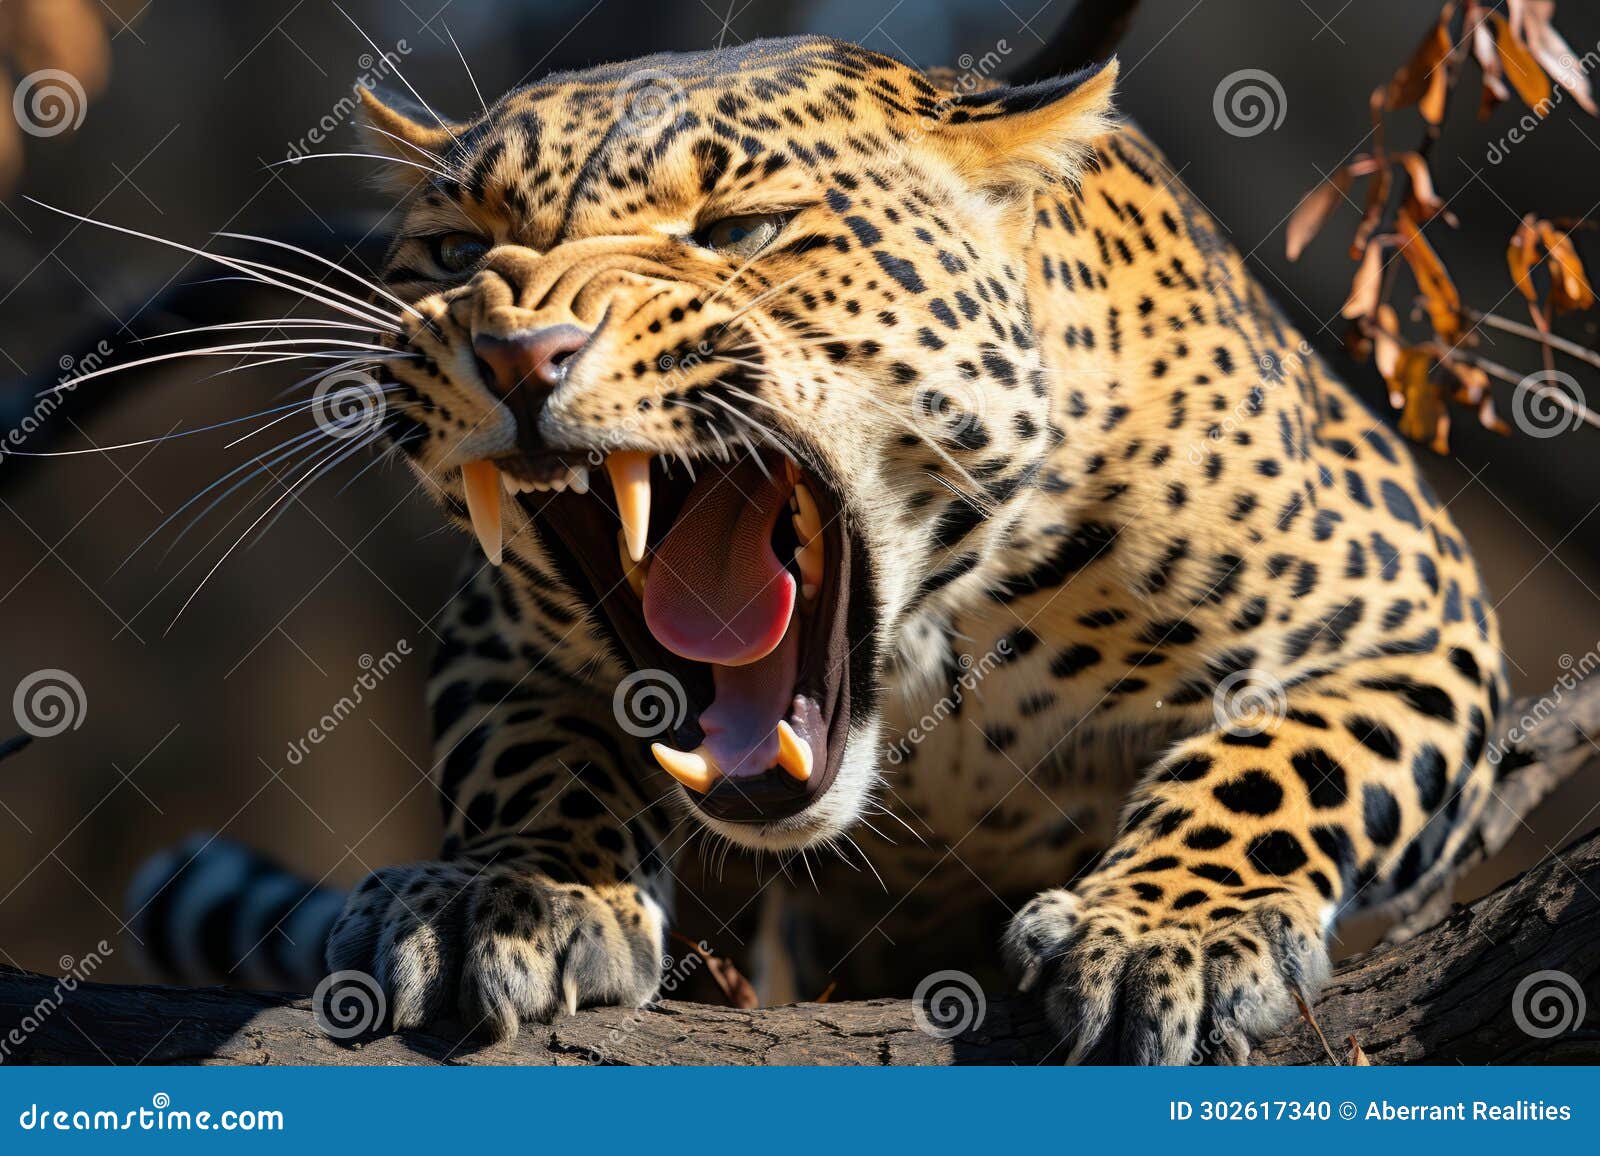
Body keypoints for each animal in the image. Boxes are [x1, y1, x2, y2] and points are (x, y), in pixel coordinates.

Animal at [130, 34, 1505, 1065]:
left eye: (739, 232)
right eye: (458, 253)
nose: (518, 353)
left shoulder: (1412, 616)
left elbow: (1277, 759)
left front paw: (1169, 931)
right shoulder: (497, 629)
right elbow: (527, 756)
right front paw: (513, 894)